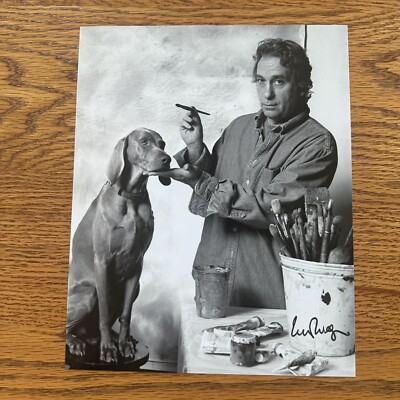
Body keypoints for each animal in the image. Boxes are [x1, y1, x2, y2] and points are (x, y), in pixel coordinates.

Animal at [66, 128, 171, 363]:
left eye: (162, 144)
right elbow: (104, 314)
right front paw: (108, 350)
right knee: (69, 329)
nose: (167, 159)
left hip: (135, 286)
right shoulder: (103, 261)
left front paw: (123, 344)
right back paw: (77, 342)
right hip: (89, 293)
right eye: (144, 142)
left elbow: (126, 314)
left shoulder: (137, 263)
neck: (131, 199)